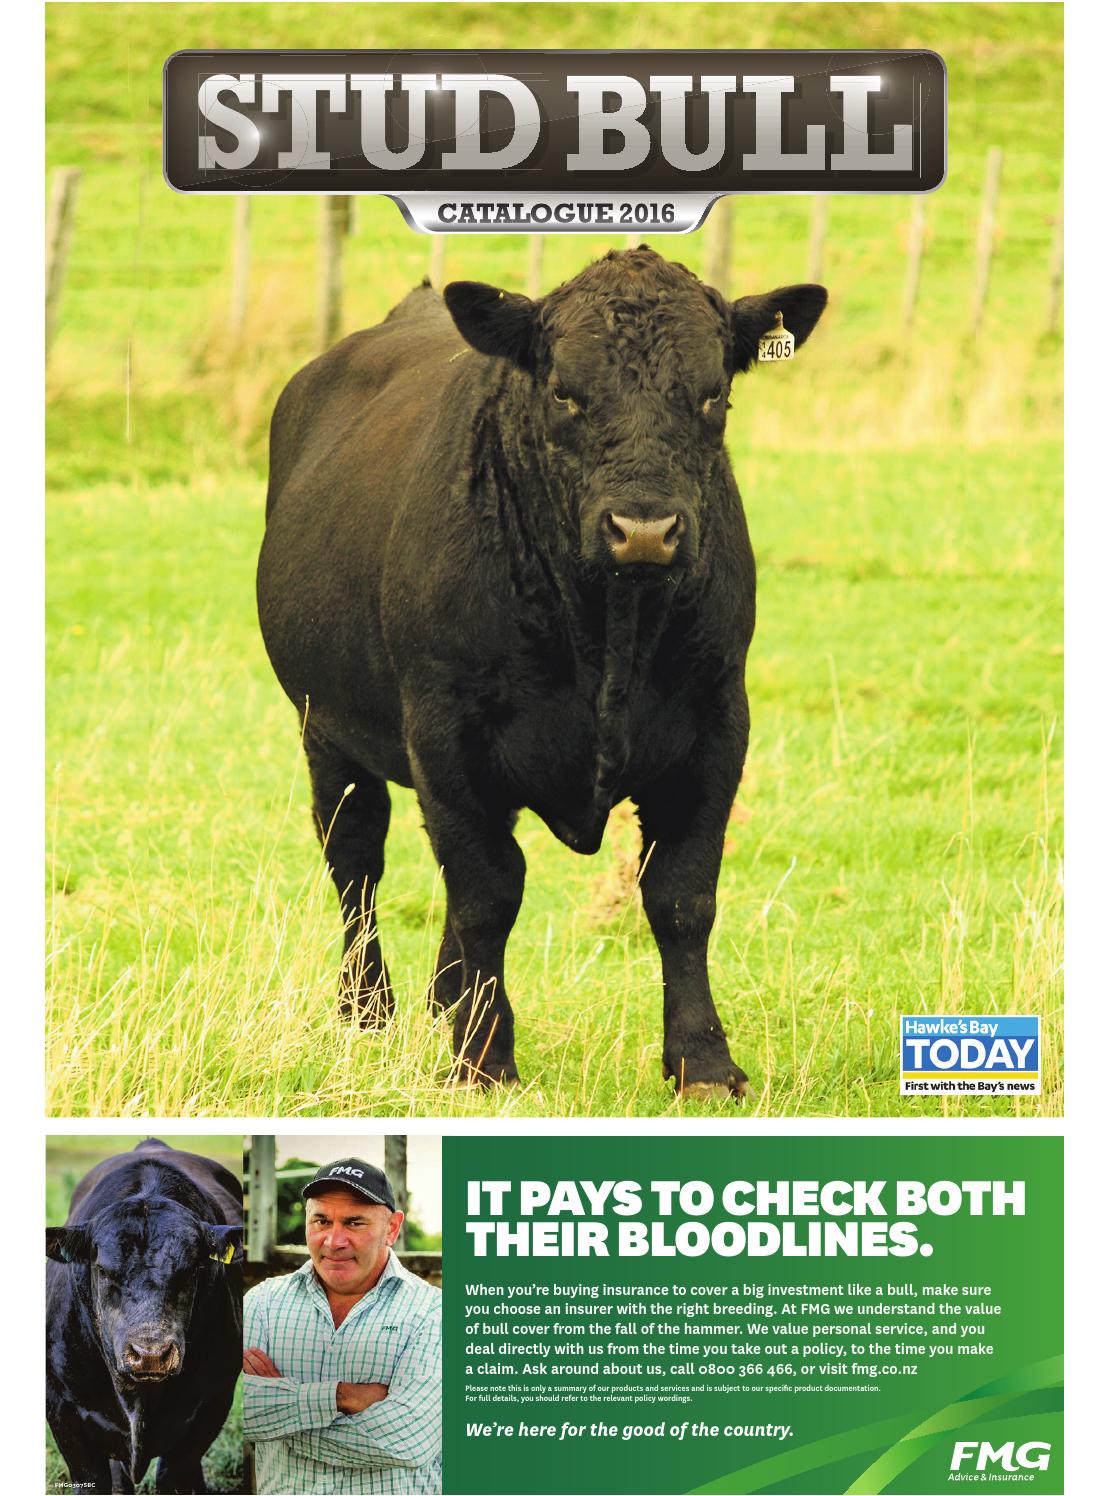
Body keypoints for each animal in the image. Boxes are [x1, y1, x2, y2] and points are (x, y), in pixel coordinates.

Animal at [46, 1139, 243, 1494]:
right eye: (103, 1270)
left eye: (192, 1269)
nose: (151, 1354)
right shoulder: (61, 1409)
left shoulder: (213, 1401)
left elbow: (174, 1474)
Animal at [257, 246, 827, 1100]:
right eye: (564, 392)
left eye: (712, 394)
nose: (644, 530)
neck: (607, 637)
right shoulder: (446, 729)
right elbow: (488, 892)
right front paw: (483, 1057)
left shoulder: (717, 722)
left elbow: (681, 894)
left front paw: (701, 1061)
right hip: (324, 727)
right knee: (356, 861)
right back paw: (367, 1008)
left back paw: (443, 997)